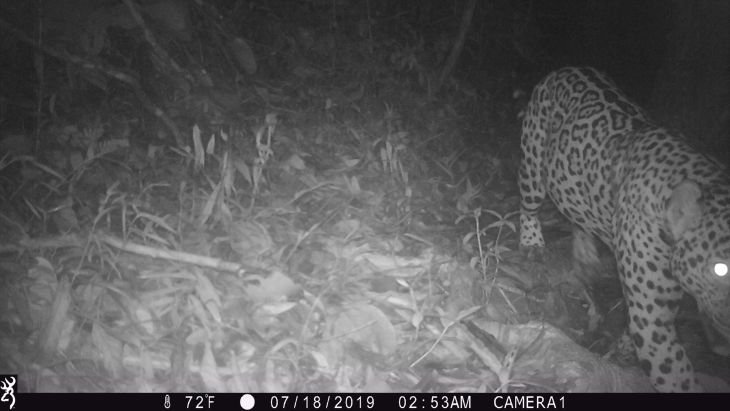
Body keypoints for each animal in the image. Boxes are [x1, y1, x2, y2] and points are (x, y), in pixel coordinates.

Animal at [518, 66, 730, 392]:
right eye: (720, 269)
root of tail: (566, 68)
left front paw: (623, 348)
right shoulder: (652, 317)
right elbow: (675, 375)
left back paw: (587, 257)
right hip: (534, 164)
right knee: (529, 204)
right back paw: (532, 244)